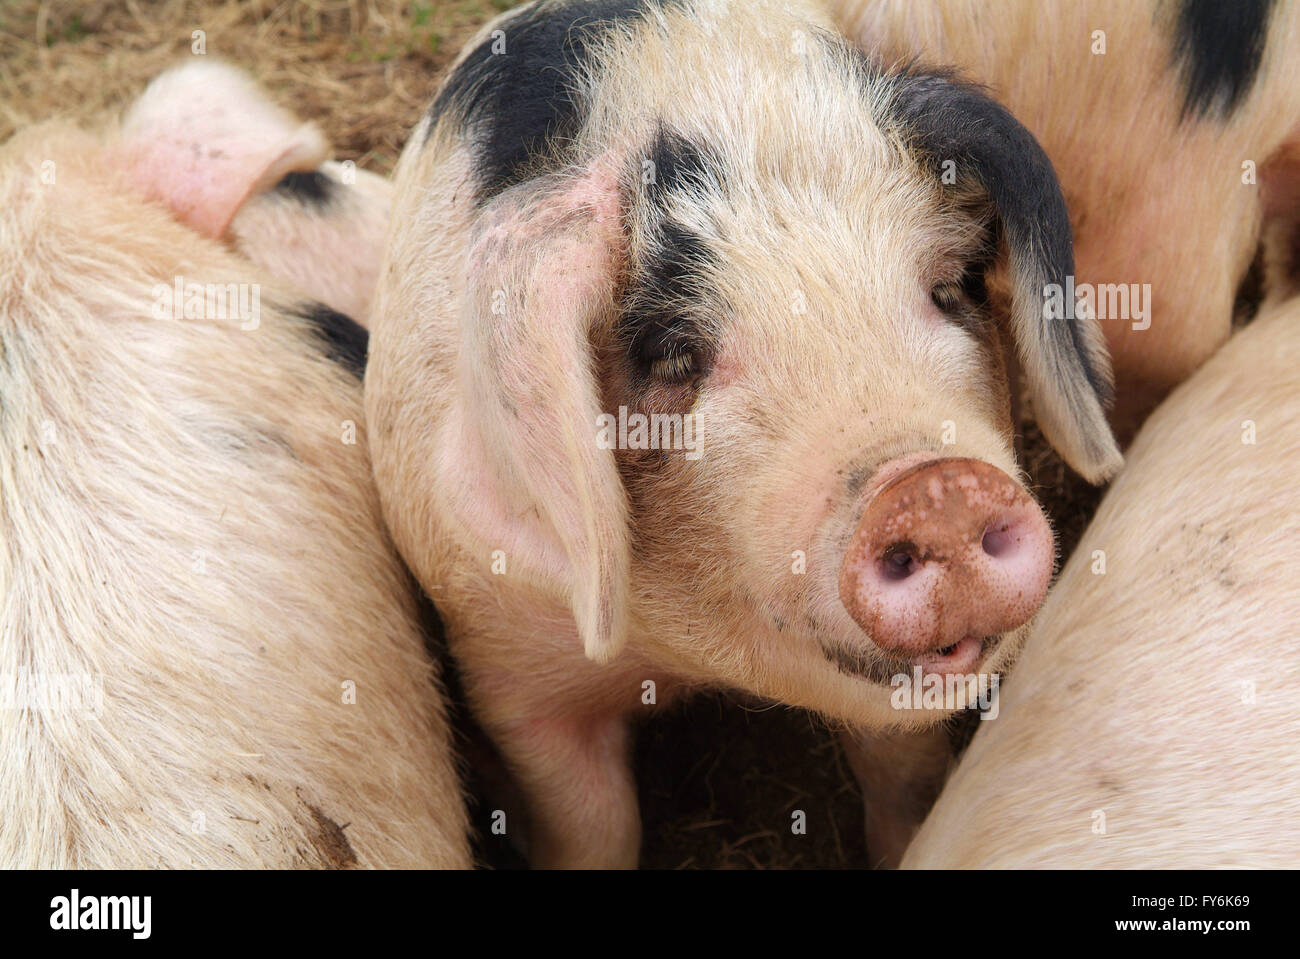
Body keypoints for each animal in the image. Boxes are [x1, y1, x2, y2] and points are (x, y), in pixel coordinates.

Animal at [365, 0, 1121, 867]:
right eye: (675, 352)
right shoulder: (506, 659)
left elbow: (901, 778)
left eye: (946, 286)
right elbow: (593, 827)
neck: (686, 655)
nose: (937, 489)